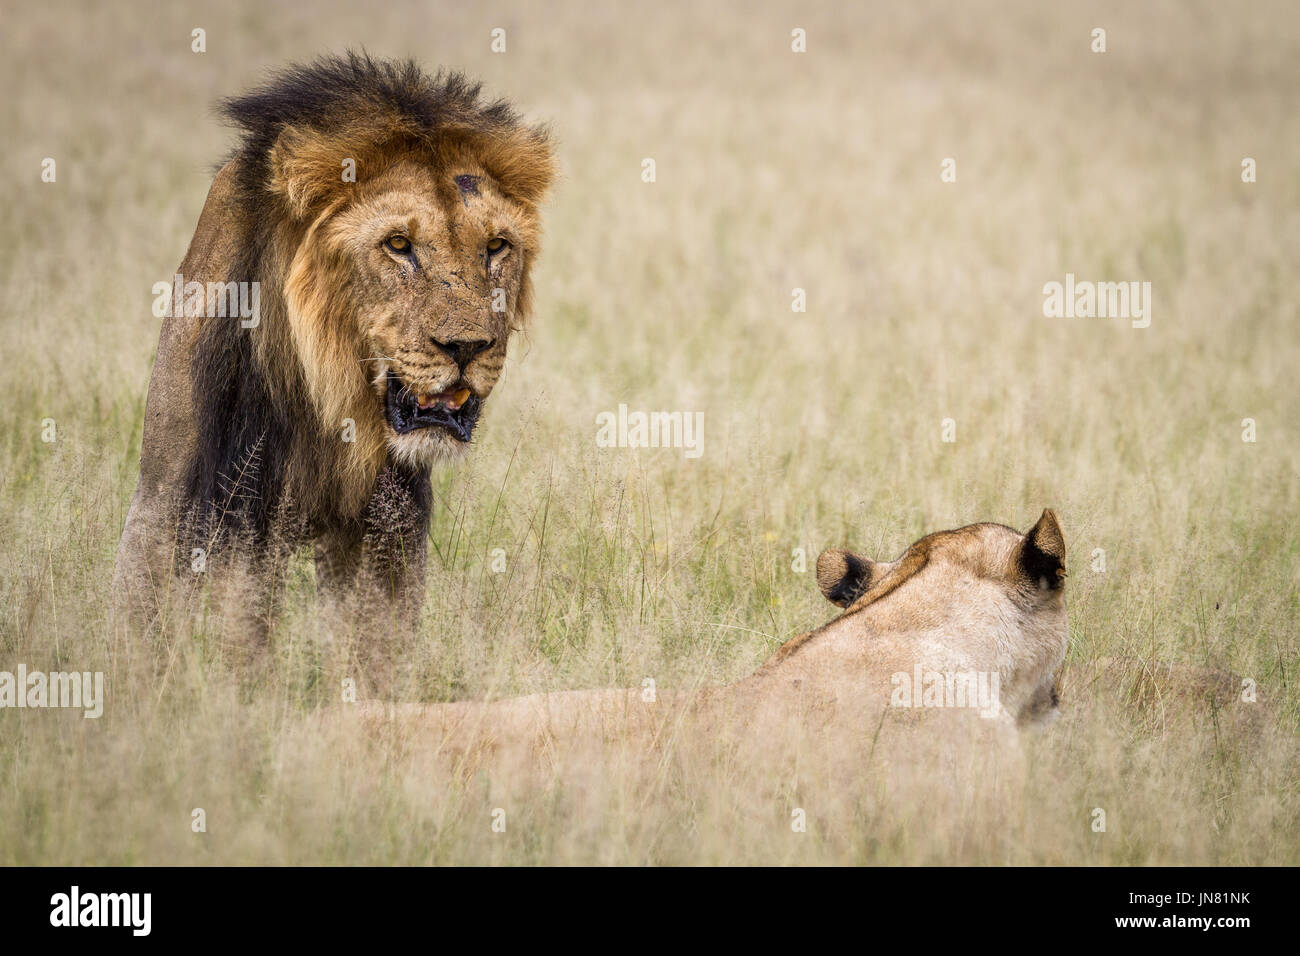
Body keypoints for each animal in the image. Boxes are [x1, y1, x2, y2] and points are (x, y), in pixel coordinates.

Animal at [112, 54, 555, 630]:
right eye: (398, 245)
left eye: (497, 246)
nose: (466, 347)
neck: (333, 403)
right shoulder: (226, 514)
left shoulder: (384, 536)